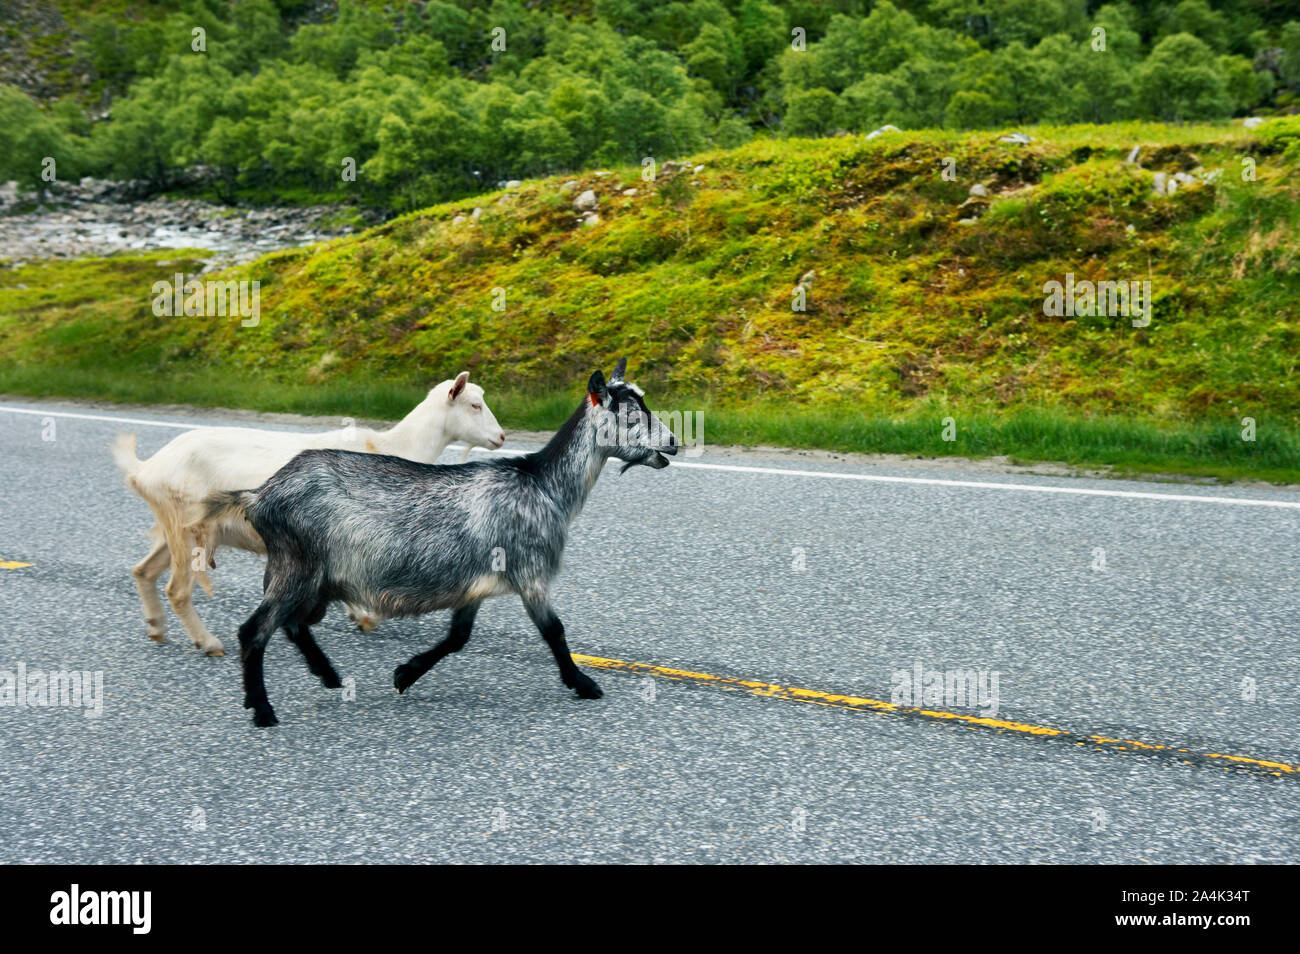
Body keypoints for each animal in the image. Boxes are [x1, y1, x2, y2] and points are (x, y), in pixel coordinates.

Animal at [113, 372, 505, 657]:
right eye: (474, 405)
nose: (501, 437)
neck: (393, 447)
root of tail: (147, 468)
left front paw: (360, 616)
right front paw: (365, 614)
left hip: (176, 527)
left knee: (143, 570)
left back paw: (156, 627)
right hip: (190, 528)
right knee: (177, 589)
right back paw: (209, 643)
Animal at [200, 357, 676, 726]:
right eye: (630, 415)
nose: (672, 443)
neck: (543, 486)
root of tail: (260, 494)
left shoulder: (477, 582)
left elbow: (458, 636)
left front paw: (405, 674)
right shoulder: (530, 571)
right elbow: (554, 631)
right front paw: (584, 683)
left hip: (311, 574)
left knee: (295, 624)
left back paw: (327, 675)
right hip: (297, 564)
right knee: (255, 629)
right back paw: (263, 709)